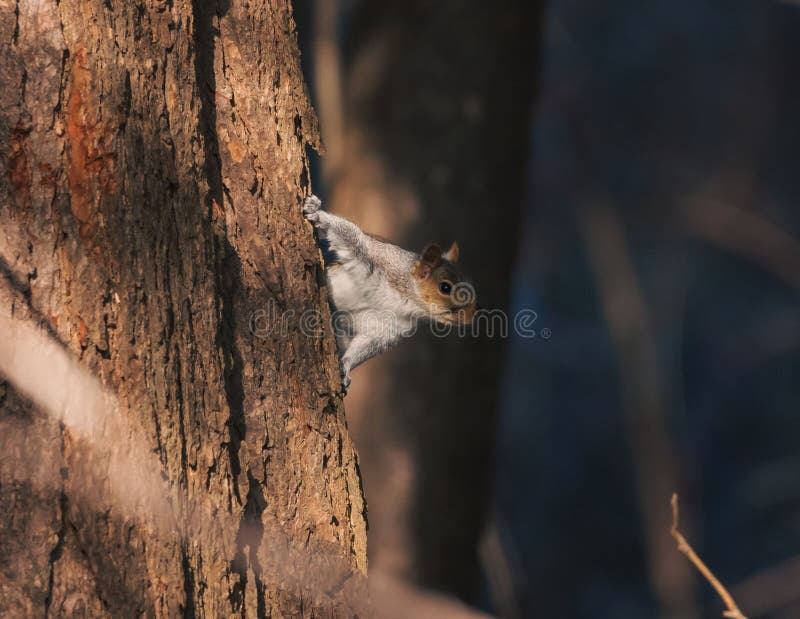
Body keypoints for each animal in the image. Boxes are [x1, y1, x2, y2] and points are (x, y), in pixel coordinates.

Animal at [303, 194, 478, 392]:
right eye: (445, 288)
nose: (474, 313)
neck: (404, 297)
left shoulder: (389, 325)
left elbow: (367, 343)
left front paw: (345, 367)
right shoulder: (374, 256)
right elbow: (351, 235)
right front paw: (317, 213)